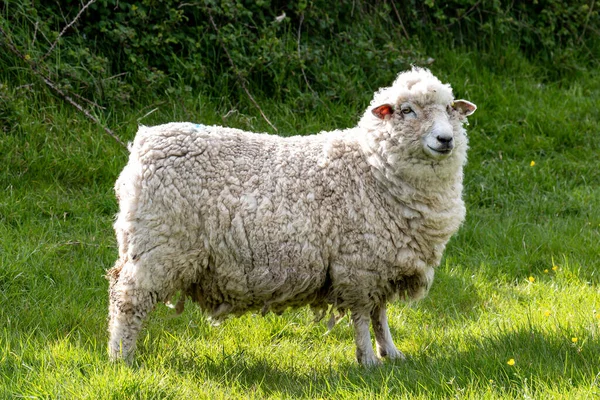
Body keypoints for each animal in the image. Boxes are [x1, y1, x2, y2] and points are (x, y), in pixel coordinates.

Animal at [105, 66, 476, 366]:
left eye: (449, 109)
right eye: (407, 111)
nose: (445, 139)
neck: (371, 167)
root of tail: (143, 142)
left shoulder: (382, 265)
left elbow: (380, 314)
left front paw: (392, 354)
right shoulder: (357, 267)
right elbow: (360, 317)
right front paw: (368, 361)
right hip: (159, 248)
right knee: (127, 302)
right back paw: (122, 359)